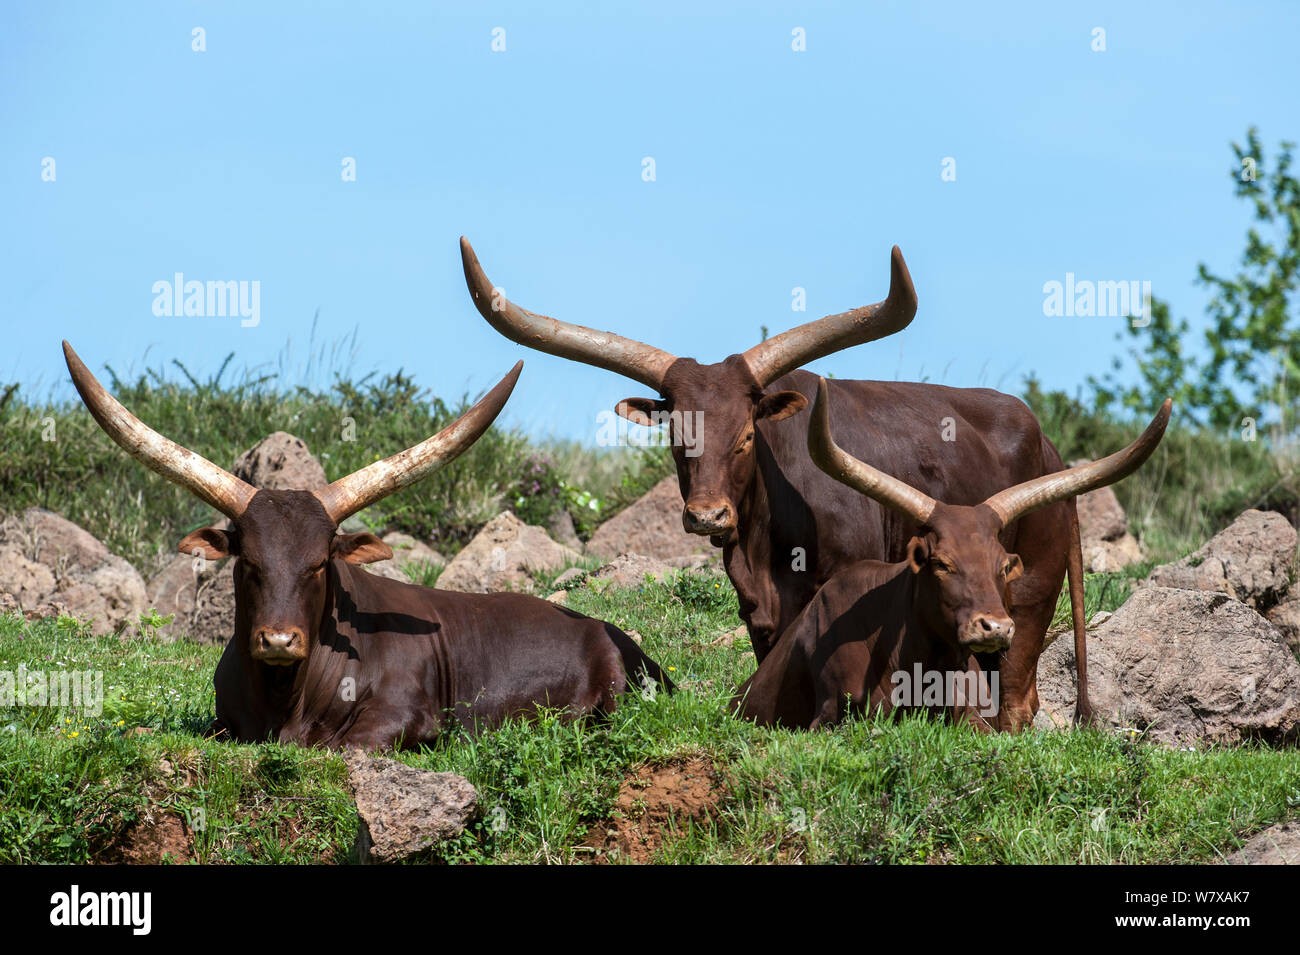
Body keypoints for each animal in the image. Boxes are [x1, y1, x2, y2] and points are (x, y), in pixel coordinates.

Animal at [62, 342, 671, 751]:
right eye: (248, 562)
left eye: (317, 565)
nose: (278, 640)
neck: (285, 696)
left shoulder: (406, 718)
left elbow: (345, 747)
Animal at [459, 237, 1090, 732]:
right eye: (677, 435)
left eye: (745, 436)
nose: (707, 516)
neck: (767, 535)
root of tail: (1048, 444)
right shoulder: (757, 612)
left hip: (1027, 596)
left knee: (1016, 696)